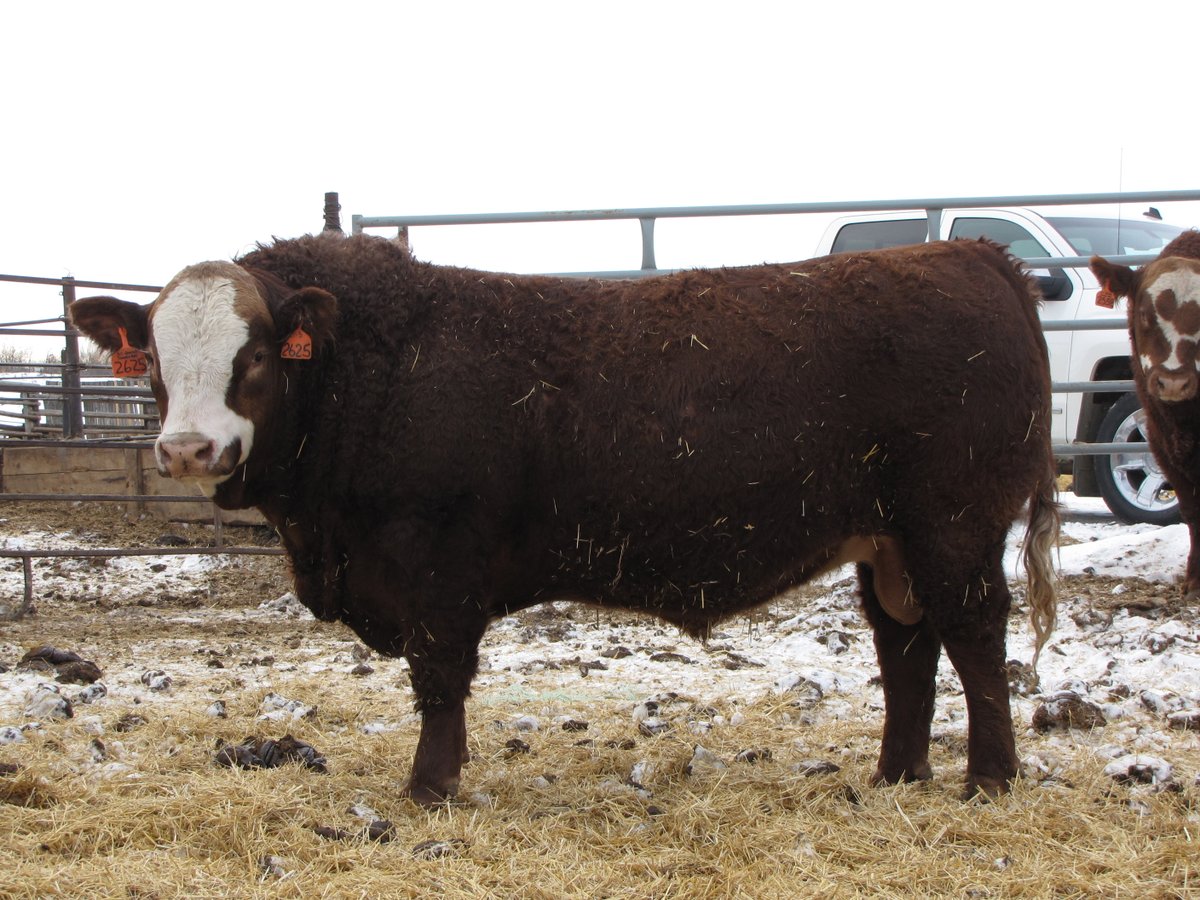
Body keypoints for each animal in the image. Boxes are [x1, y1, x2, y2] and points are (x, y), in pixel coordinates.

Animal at [69, 233, 1059, 804]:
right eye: (153, 360)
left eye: (257, 357)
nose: (189, 449)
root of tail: (975, 254)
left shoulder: (437, 563)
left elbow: (439, 679)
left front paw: (430, 789)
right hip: (889, 539)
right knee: (907, 644)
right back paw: (897, 775)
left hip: (955, 524)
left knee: (973, 636)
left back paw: (988, 779)